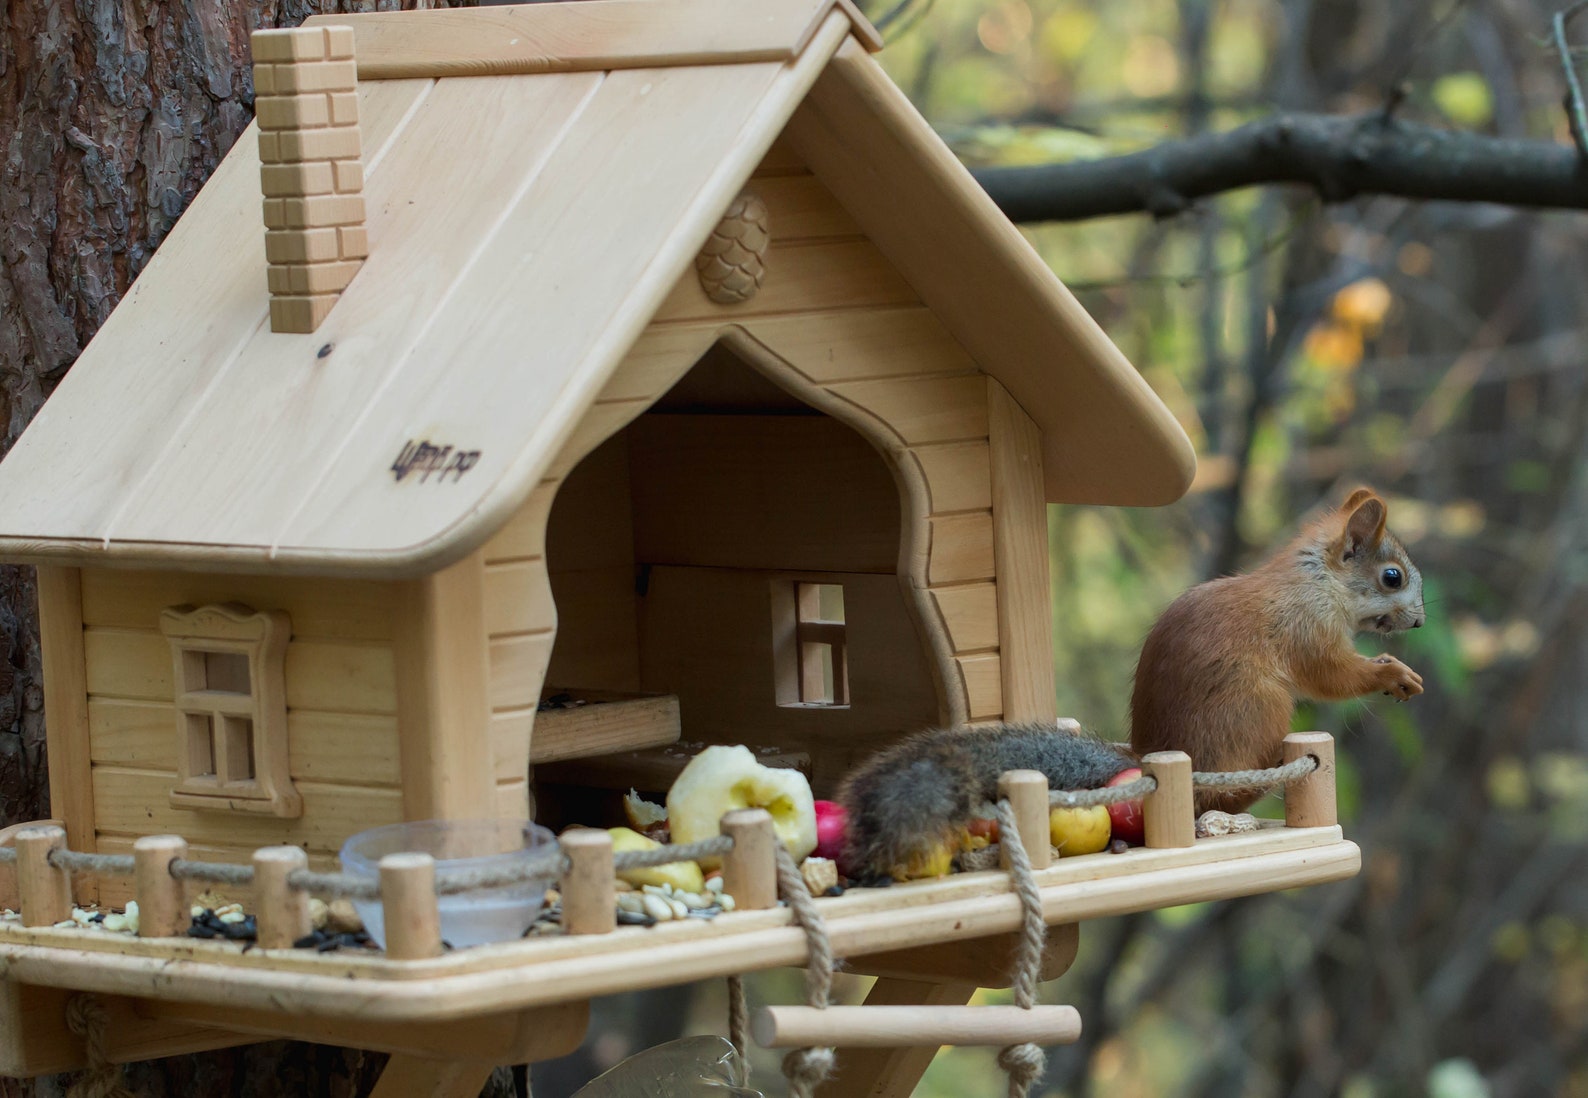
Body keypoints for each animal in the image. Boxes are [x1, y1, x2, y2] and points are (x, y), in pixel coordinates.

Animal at [838, 487, 1425, 880]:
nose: (1420, 622)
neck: (1317, 580)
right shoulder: (1309, 630)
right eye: (1391, 577)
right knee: (1224, 792)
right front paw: (1392, 673)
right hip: (1261, 703)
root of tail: (1151, 757)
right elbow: (1333, 676)